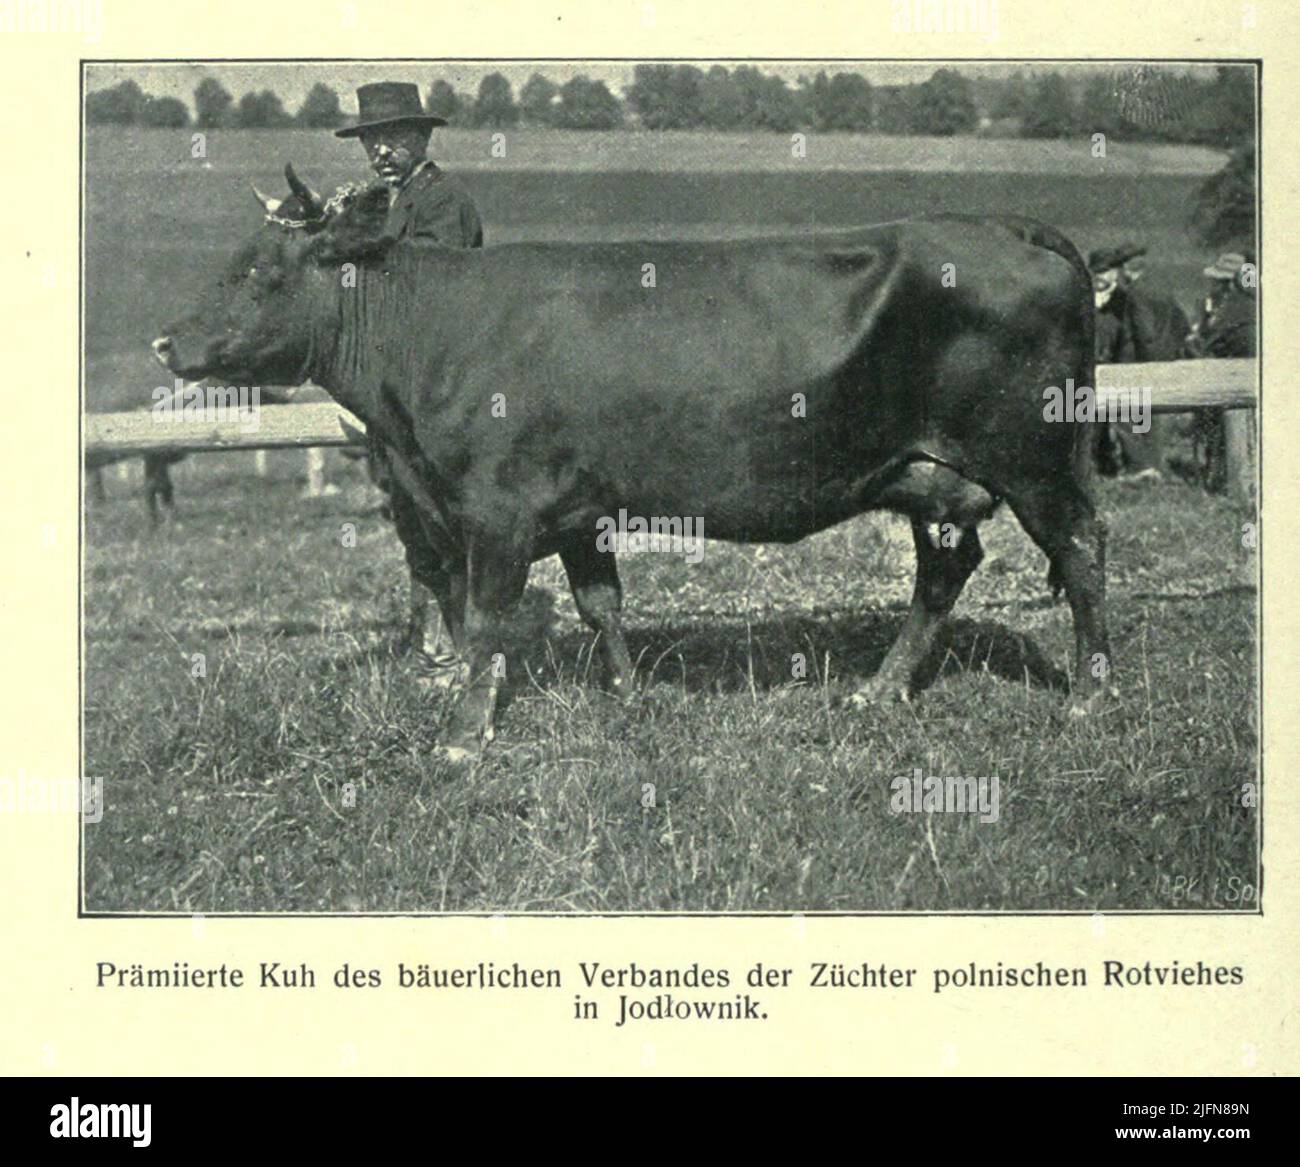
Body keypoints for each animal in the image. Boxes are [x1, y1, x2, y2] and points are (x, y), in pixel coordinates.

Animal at [153, 165, 1110, 765]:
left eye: (260, 272)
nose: (165, 341)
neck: (433, 332)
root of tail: (1004, 224)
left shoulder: (497, 512)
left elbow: (489, 620)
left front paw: (464, 733)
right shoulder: (577, 509)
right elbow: (600, 603)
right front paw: (628, 696)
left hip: (1031, 458)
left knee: (1081, 550)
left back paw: (1086, 694)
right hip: (933, 476)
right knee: (944, 572)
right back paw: (878, 691)